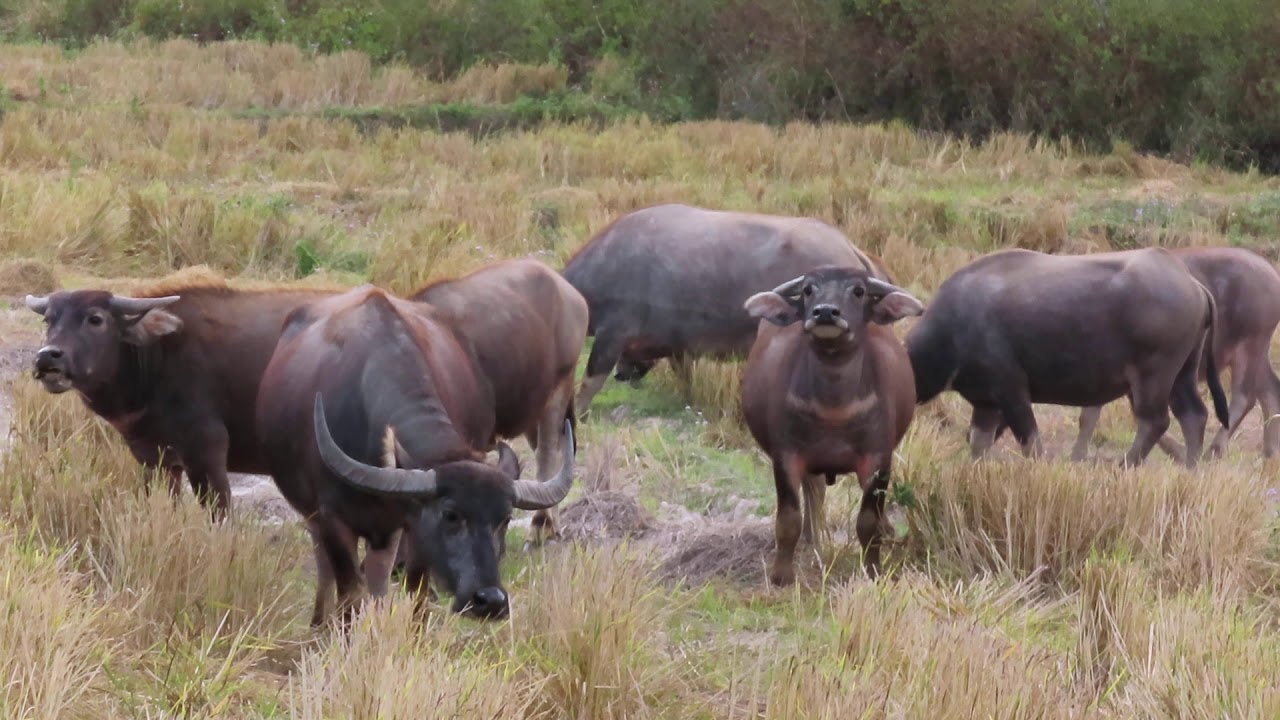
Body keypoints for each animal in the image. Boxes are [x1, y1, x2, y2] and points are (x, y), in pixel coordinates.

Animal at [24, 280, 335, 520]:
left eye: (96, 319)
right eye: (48, 319)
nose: (47, 357)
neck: (157, 359)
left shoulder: (207, 455)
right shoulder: (156, 461)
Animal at [254, 286, 575, 626]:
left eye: (505, 519)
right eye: (451, 514)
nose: (490, 600)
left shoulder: (410, 527)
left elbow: (416, 598)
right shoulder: (332, 519)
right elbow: (350, 598)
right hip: (314, 516)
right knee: (326, 567)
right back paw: (319, 621)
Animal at [741, 266, 923, 585]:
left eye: (859, 291)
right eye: (808, 289)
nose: (825, 312)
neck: (834, 409)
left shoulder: (878, 460)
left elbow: (868, 522)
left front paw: (873, 569)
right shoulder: (786, 456)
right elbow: (788, 518)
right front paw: (781, 575)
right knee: (813, 494)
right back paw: (812, 539)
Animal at [907, 247, 1229, 467]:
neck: (953, 325)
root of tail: (1193, 284)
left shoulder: (1011, 391)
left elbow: (1032, 444)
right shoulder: (986, 403)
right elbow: (978, 443)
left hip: (1154, 376)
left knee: (1155, 422)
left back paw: (1124, 466)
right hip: (1183, 374)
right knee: (1193, 415)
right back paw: (1190, 470)